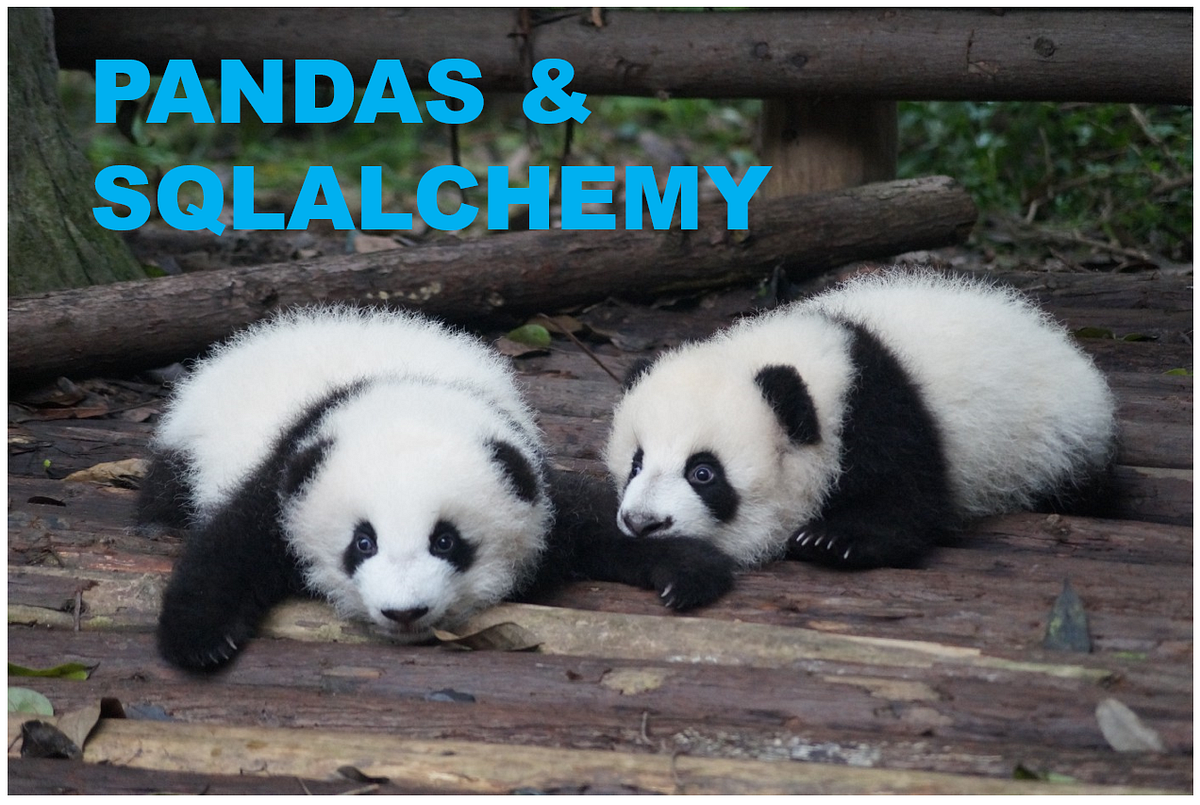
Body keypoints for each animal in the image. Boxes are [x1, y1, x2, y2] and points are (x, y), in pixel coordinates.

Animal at [139, 306, 734, 671]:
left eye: (446, 541)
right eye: (363, 543)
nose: (405, 613)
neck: (406, 391)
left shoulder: (525, 470)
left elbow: (593, 520)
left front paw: (686, 569)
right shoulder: (289, 469)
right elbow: (231, 545)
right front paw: (201, 640)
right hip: (188, 444)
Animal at [605, 269, 1118, 570]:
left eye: (703, 473)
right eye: (636, 463)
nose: (642, 523)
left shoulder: (881, 411)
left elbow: (909, 499)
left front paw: (832, 540)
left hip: (1055, 442)